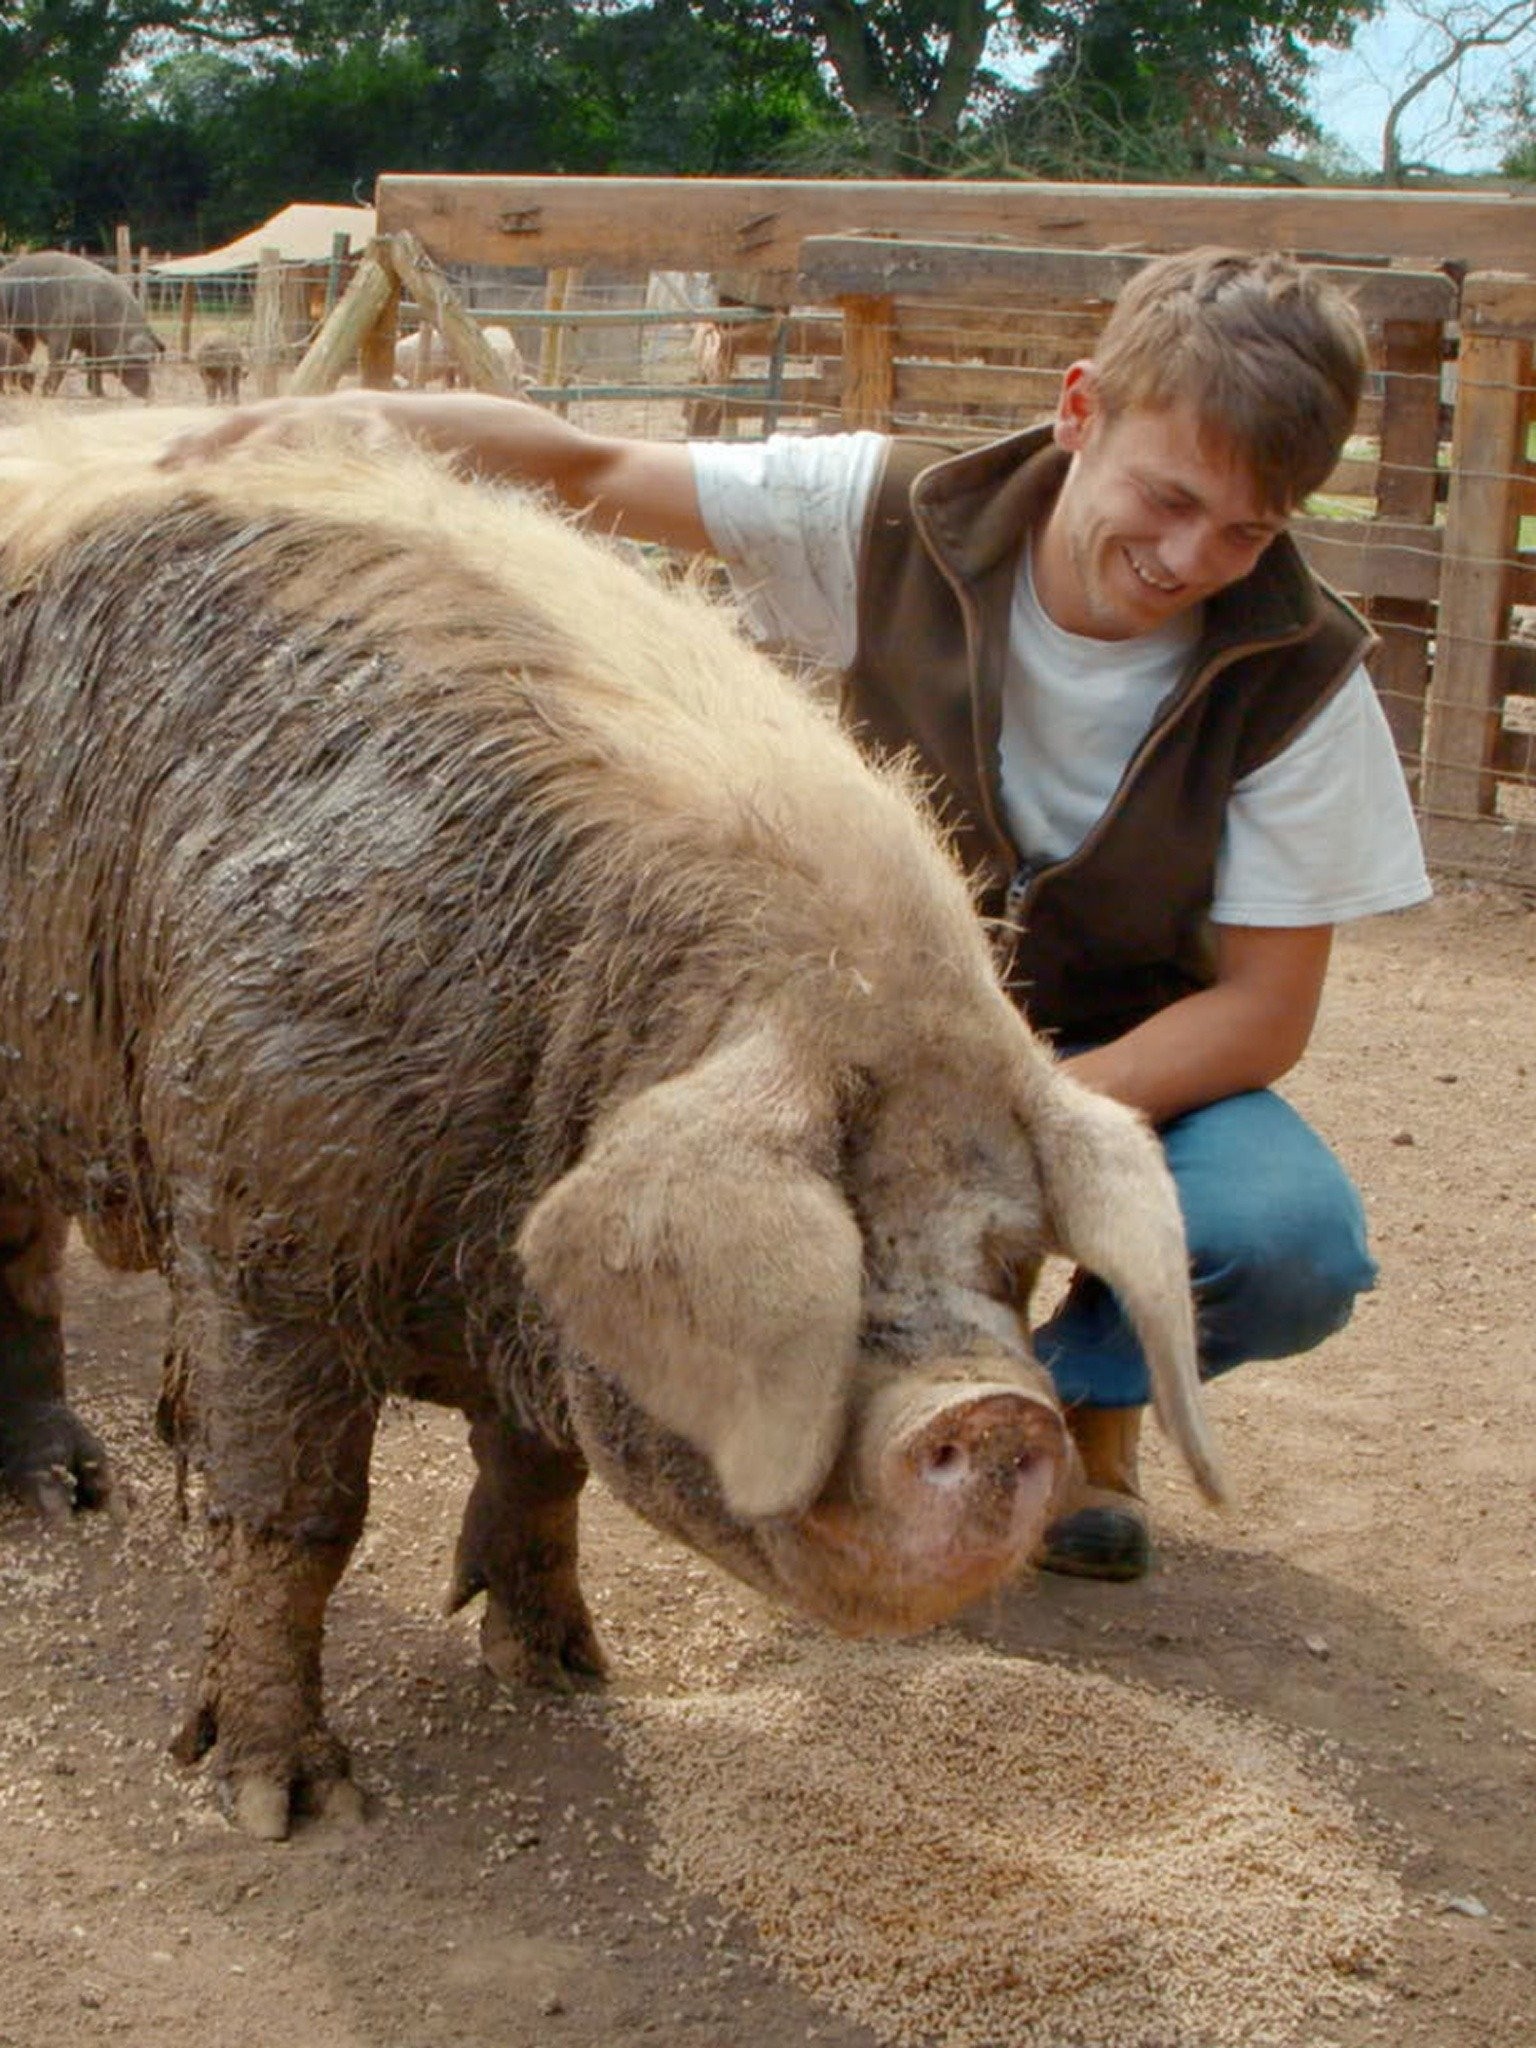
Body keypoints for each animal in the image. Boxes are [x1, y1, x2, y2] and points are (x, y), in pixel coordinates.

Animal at [0, 251, 164, 399]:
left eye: (151, 361)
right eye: (137, 361)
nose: (151, 395)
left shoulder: (93, 345)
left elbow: (94, 365)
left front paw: (100, 394)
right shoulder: (61, 329)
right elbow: (60, 359)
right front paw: (47, 393)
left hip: (24, 330)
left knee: (23, 349)